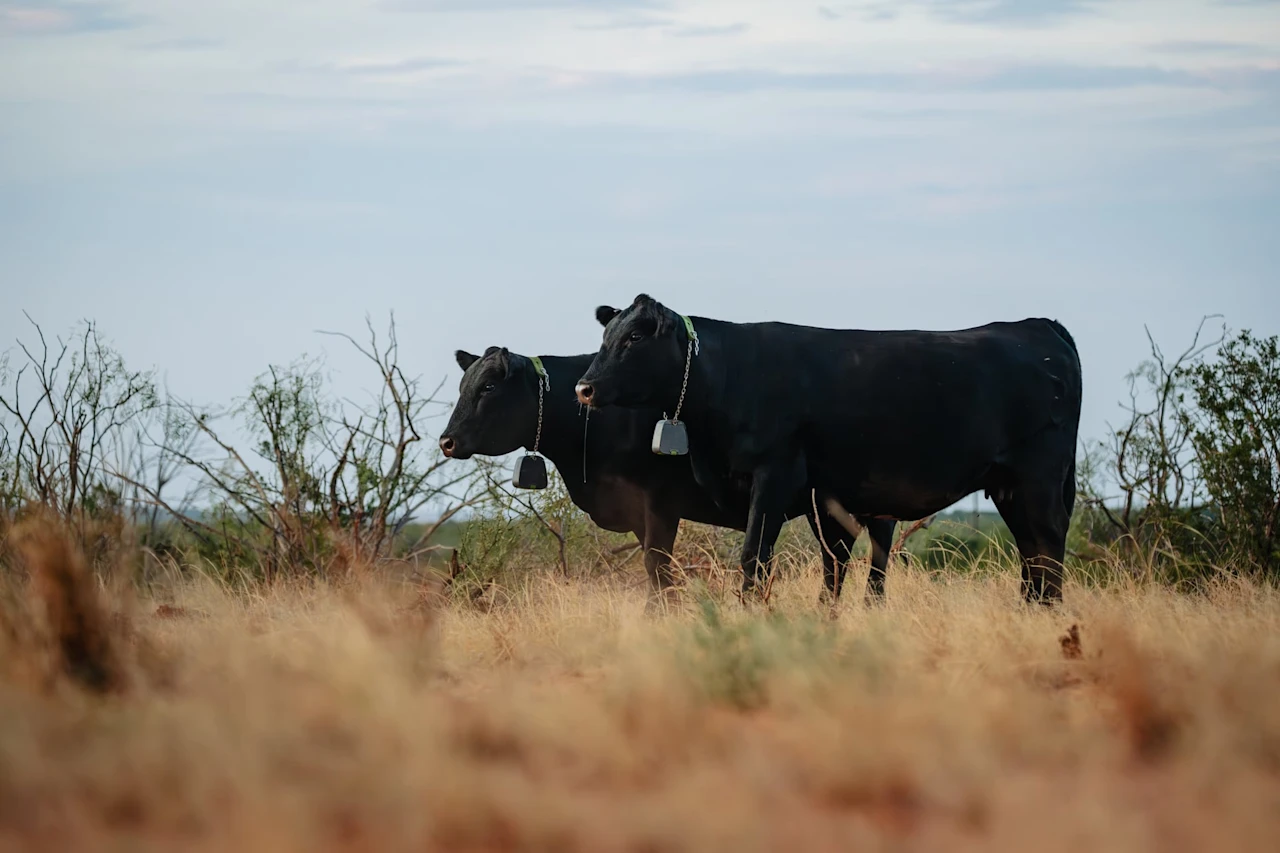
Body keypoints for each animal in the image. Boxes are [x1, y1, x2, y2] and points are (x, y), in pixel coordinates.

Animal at [439, 346, 899, 605]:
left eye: (489, 387)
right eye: (462, 386)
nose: (447, 441)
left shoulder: (658, 500)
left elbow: (655, 564)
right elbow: (657, 566)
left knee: (874, 557)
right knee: (839, 558)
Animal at [574, 295, 1082, 605]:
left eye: (634, 338)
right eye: (606, 337)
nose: (584, 387)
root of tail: (1038, 326)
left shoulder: (774, 473)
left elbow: (755, 555)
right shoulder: (823, 495)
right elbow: (830, 567)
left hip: (1038, 478)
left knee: (1047, 541)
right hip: (1009, 485)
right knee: (1030, 550)